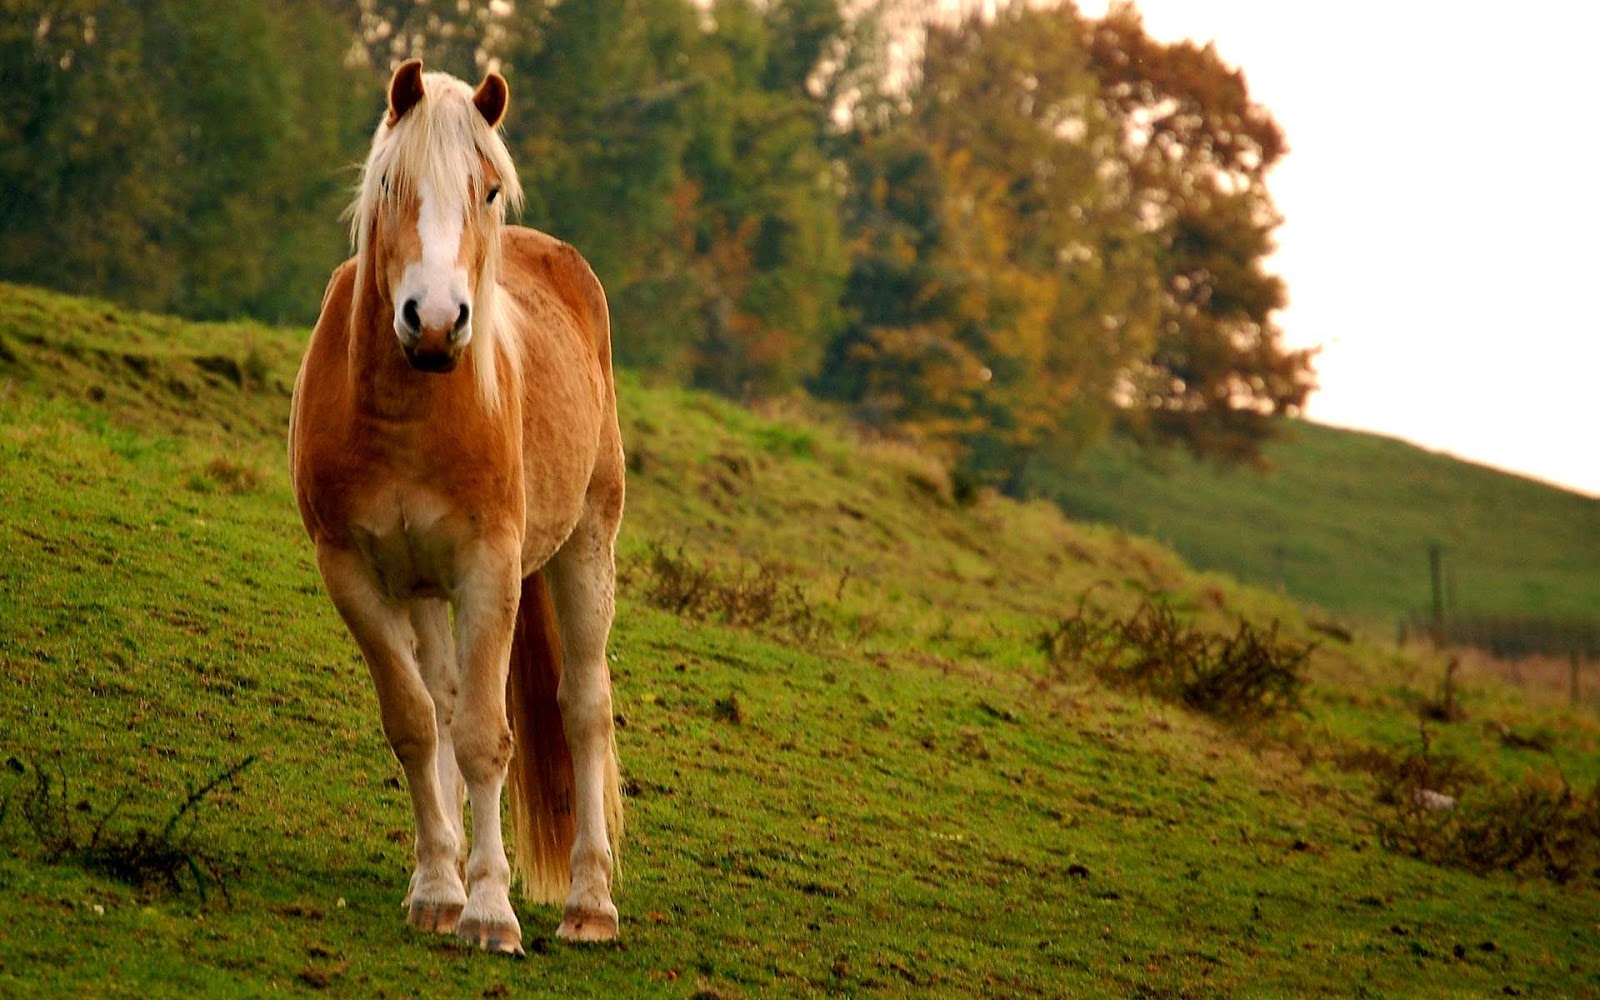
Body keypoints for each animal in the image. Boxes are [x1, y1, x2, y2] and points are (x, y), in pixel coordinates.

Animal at [289, 59, 624, 954]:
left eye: (488, 190)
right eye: (392, 182)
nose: (436, 323)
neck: (410, 412)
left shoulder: (488, 569)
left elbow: (482, 736)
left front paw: (489, 913)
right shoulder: (353, 570)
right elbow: (415, 722)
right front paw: (440, 892)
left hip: (587, 546)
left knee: (584, 710)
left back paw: (590, 905)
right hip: (423, 588)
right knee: (439, 703)